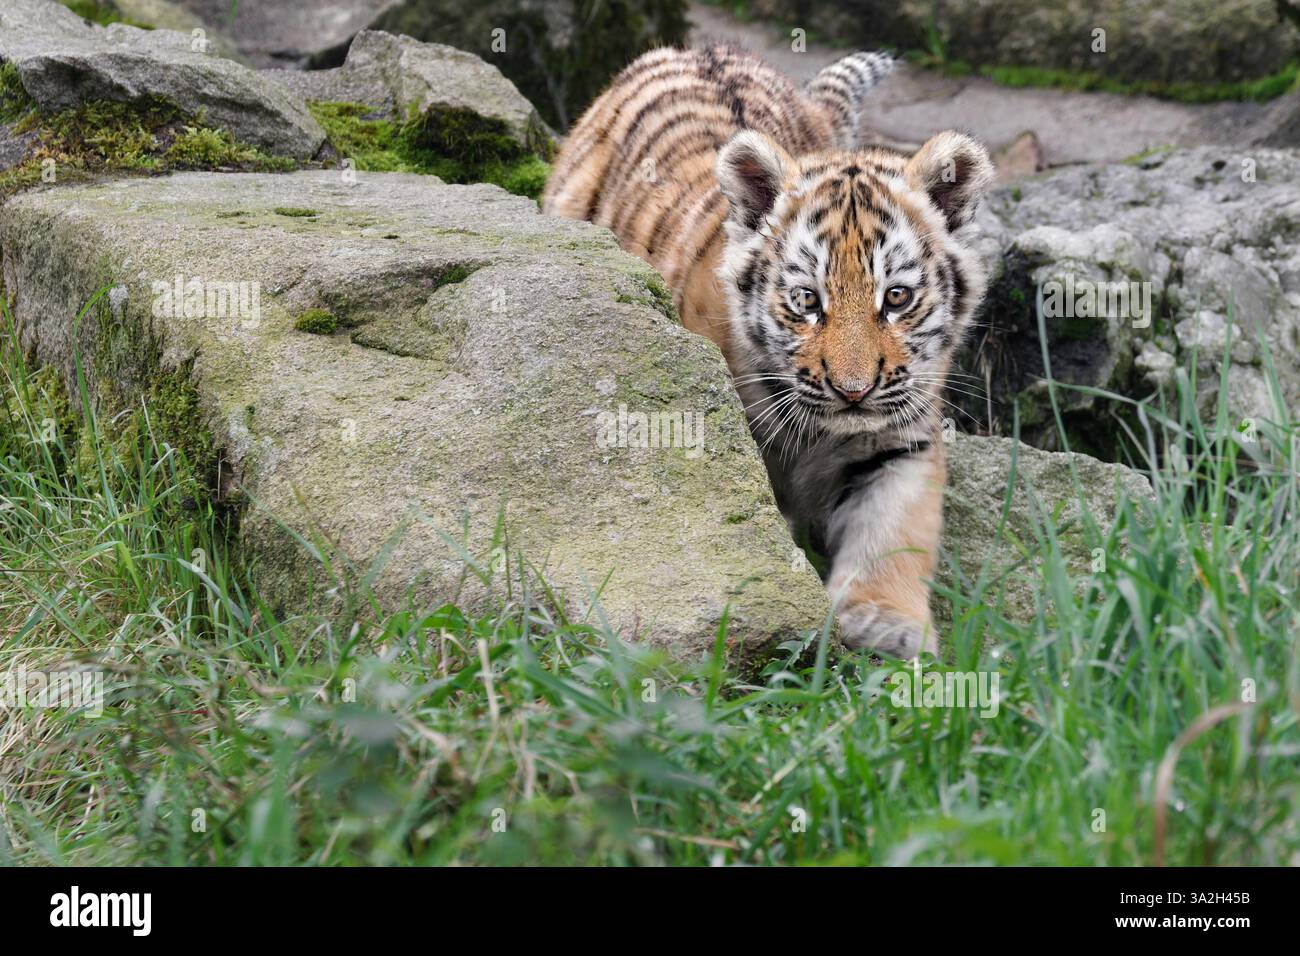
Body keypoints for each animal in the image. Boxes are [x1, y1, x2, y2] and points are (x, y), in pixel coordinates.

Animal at [543, 44, 994, 658]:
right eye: (806, 300)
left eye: (896, 298)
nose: (854, 391)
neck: (827, 434)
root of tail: (698, 49)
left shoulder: (904, 438)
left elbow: (894, 530)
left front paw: (886, 624)